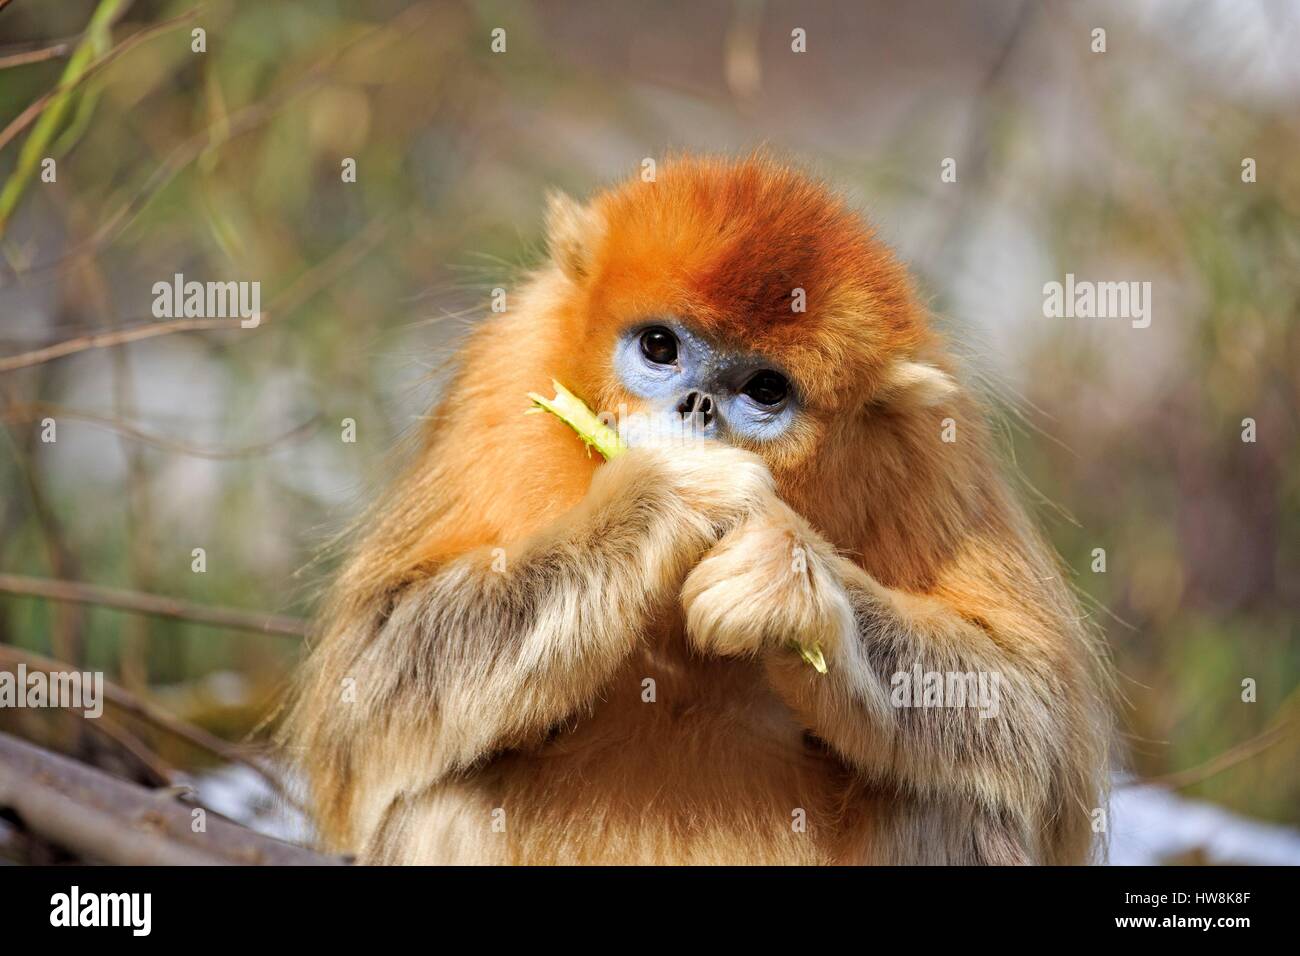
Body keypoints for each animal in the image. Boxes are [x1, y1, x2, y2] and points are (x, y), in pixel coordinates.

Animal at [282, 154, 1111, 865]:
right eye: (660, 347)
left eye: (765, 390)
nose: (696, 408)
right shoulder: (507, 369)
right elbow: (366, 679)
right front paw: (666, 494)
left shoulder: (936, 441)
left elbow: (1039, 727)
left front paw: (789, 581)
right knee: (443, 787)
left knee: (954, 797)